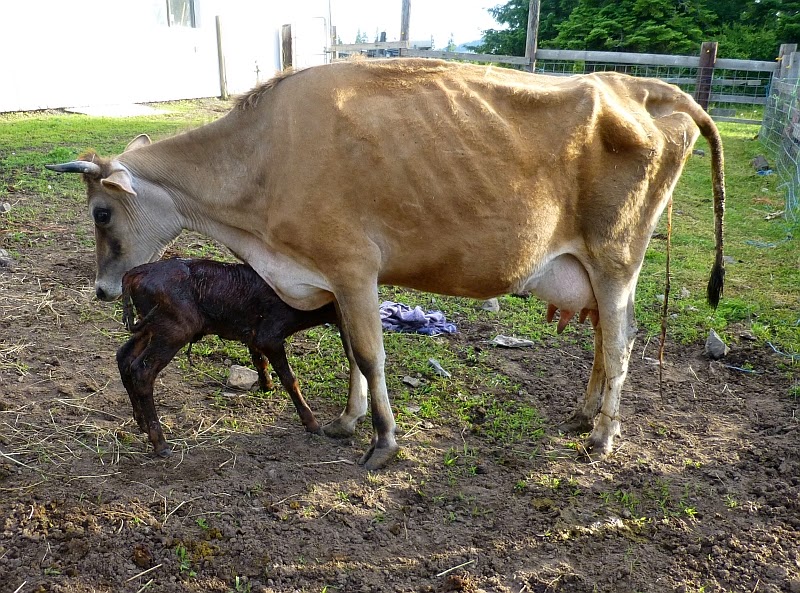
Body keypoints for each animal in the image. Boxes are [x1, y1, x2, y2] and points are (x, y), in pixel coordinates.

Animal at [46, 58, 725, 469]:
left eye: (101, 213)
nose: (103, 290)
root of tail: (645, 87)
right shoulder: (334, 278)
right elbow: (352, 354)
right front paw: (348, 422)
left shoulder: (353, 268)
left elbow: (370, 356)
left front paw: (382, 441)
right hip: (594, 267)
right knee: (604, 343)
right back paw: (585, 414)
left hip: (616, 258)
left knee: (621, 344)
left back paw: (604, 435)